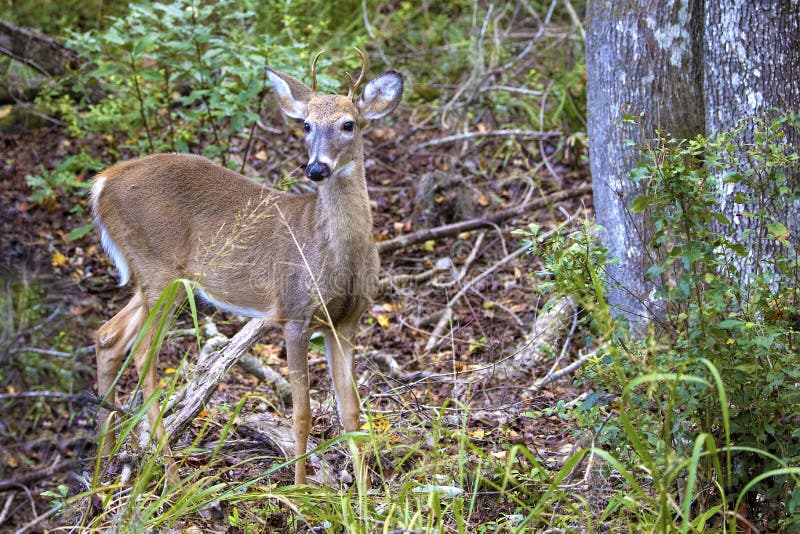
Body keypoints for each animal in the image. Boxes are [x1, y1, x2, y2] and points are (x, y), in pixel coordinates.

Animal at [90, 51, 403, 485]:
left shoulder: (347, 321)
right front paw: (301, 490)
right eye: (306, 124)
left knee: (108, 335)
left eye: (348, 124)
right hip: (159, 271)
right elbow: (302, 413)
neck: (338, 256)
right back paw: (170, 476)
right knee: (142, 356)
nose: (316, 169)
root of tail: (101, 183)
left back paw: (101, 473)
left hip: (154, 277)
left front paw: (361, 494)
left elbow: (352, 413)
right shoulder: (295, 312)